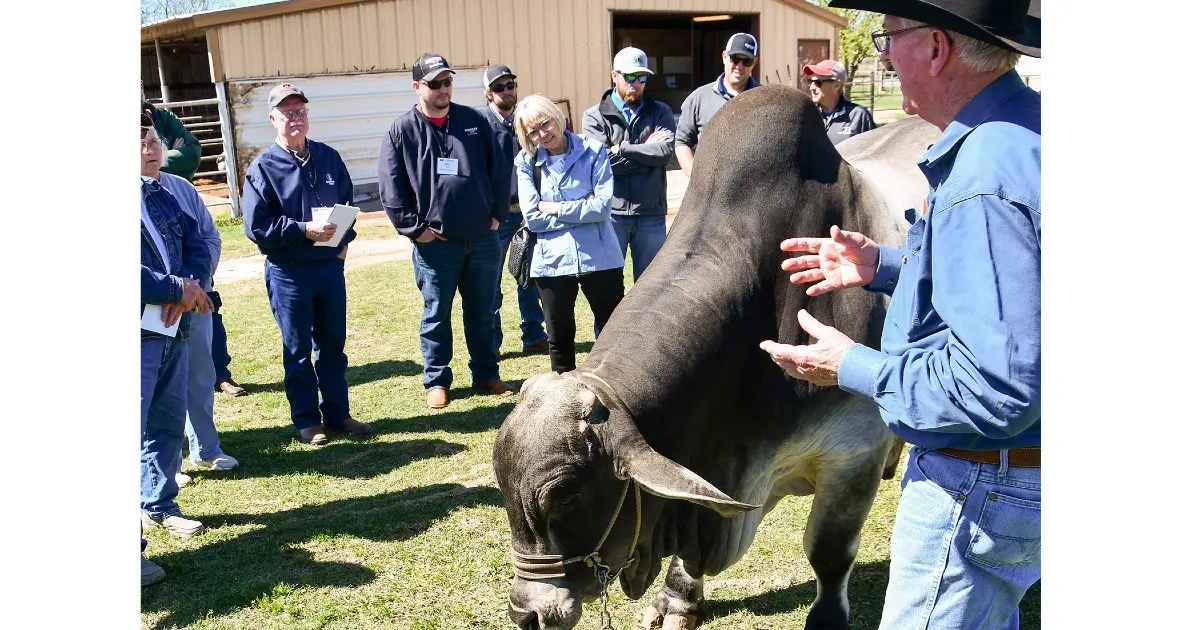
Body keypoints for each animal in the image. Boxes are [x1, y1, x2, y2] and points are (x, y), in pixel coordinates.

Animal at [493, 85, 940, 630]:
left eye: (566, 497)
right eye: (501, 488)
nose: (526, 613)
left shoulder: (854, 455)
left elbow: (829, 553)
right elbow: (691, 557)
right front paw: (677, 601)